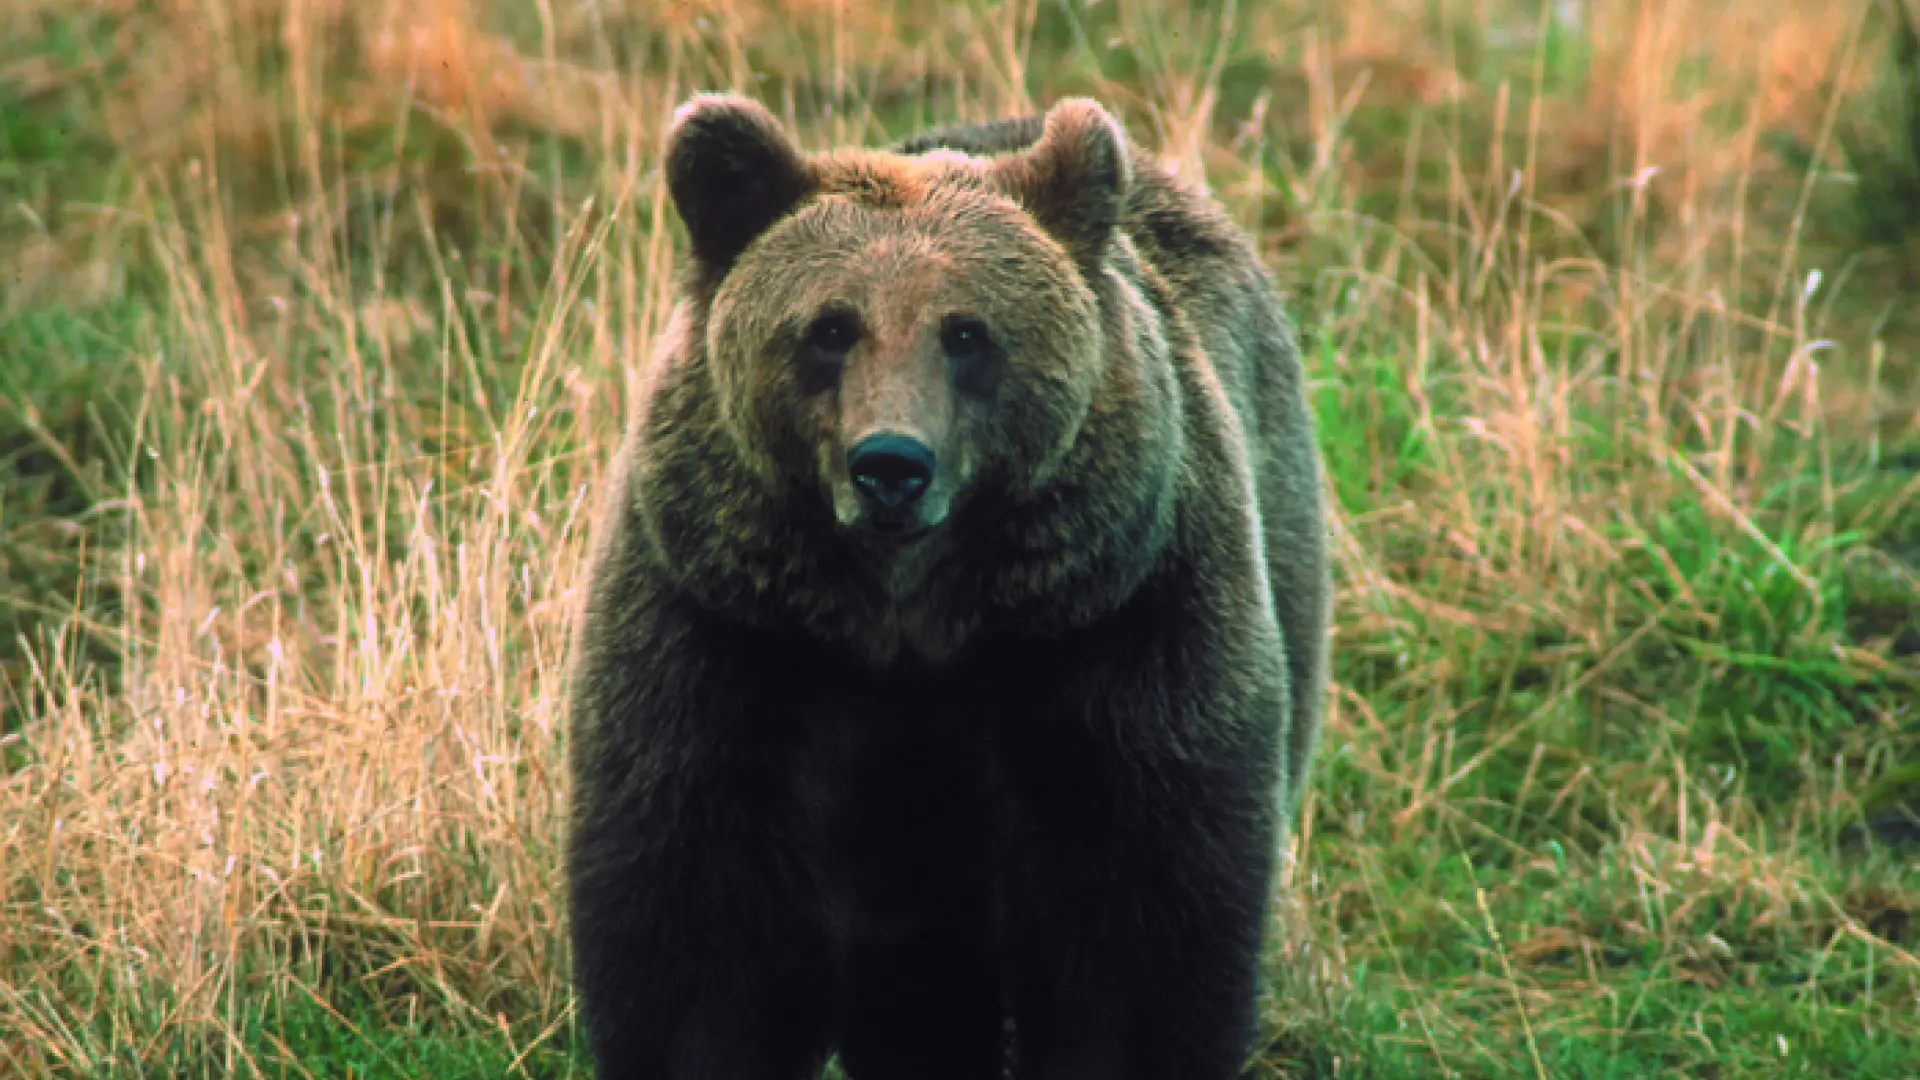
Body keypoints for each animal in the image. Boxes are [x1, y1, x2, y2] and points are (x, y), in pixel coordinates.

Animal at [566, 93, 1330, 1080]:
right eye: (830, 327)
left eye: (967, 332)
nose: (891, 463)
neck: (910, 631)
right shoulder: (727, 635)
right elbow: (701, 933)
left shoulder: (1115, 628)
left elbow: (1139, 930)